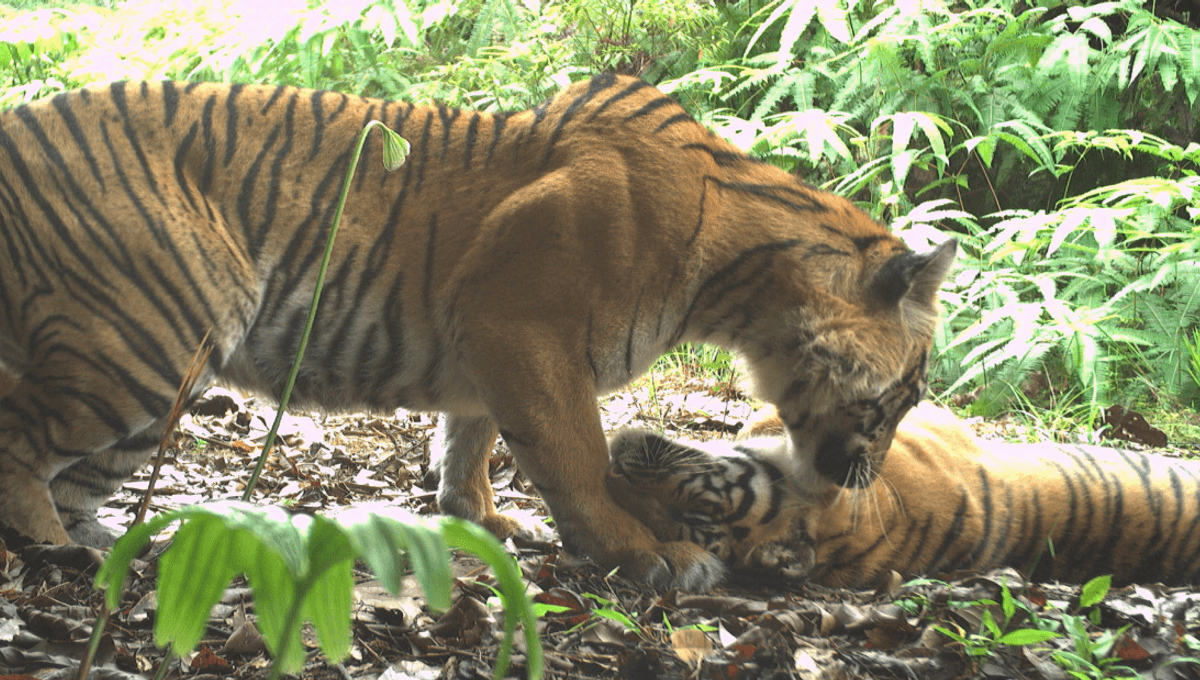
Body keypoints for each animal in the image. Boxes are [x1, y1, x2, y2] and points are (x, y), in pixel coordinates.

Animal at [0, 74, 955, 591]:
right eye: (904, 396)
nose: (866, 480)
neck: (740, 280)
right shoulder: (520, 320)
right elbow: (574, 452)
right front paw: (646, 553)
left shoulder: (495, 346)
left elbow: (474, 438)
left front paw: (485, 520)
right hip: (147, 336)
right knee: (19, 444)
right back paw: (55, 552)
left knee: (74, 473)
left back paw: (113, 541)